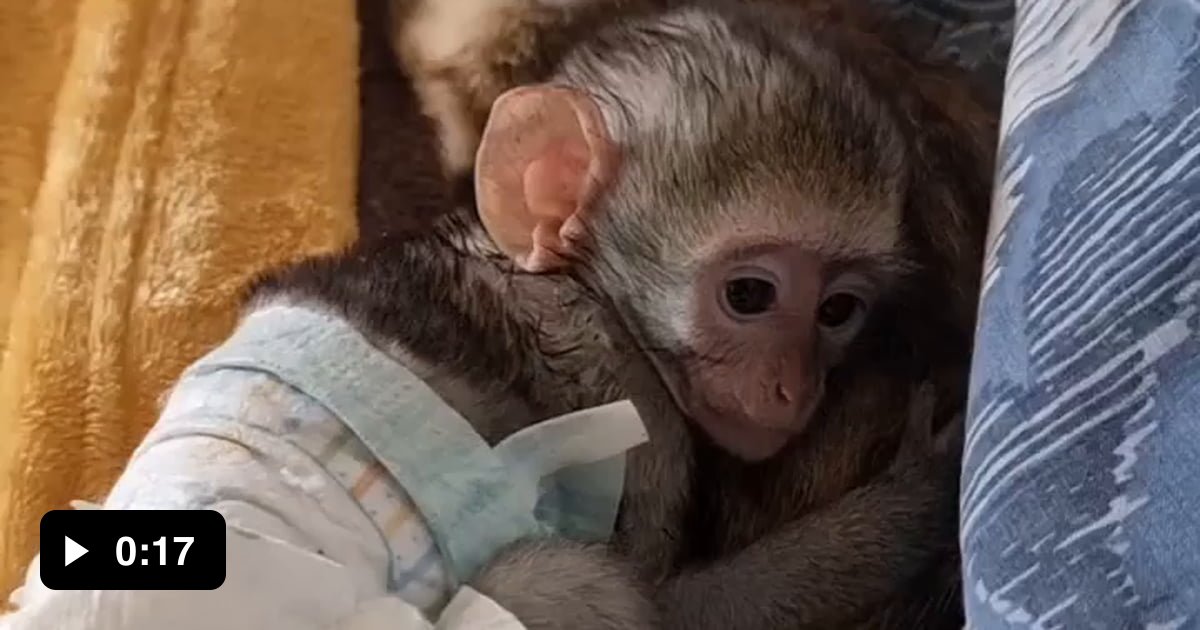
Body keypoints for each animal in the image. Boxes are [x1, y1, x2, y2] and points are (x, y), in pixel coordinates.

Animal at [246, 0, 996, 627]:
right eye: (749, 296)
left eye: (838, 310)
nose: (795, 386)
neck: (573, 281)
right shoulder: (638, 408)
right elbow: (669, 609)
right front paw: (916, 497)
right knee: (558, 577)